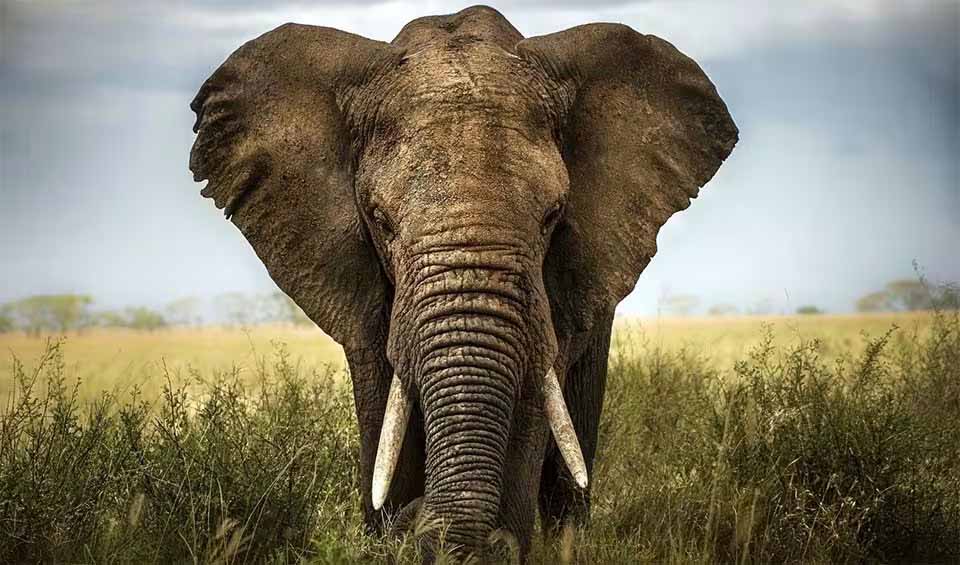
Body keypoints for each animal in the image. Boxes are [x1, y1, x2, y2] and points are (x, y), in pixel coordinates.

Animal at [189, 5, 736, 561]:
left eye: (553, 216)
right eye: (380, 220)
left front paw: (498, 543)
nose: (414, 522)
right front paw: (391, 532)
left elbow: (533, 399)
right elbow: (383, 401)